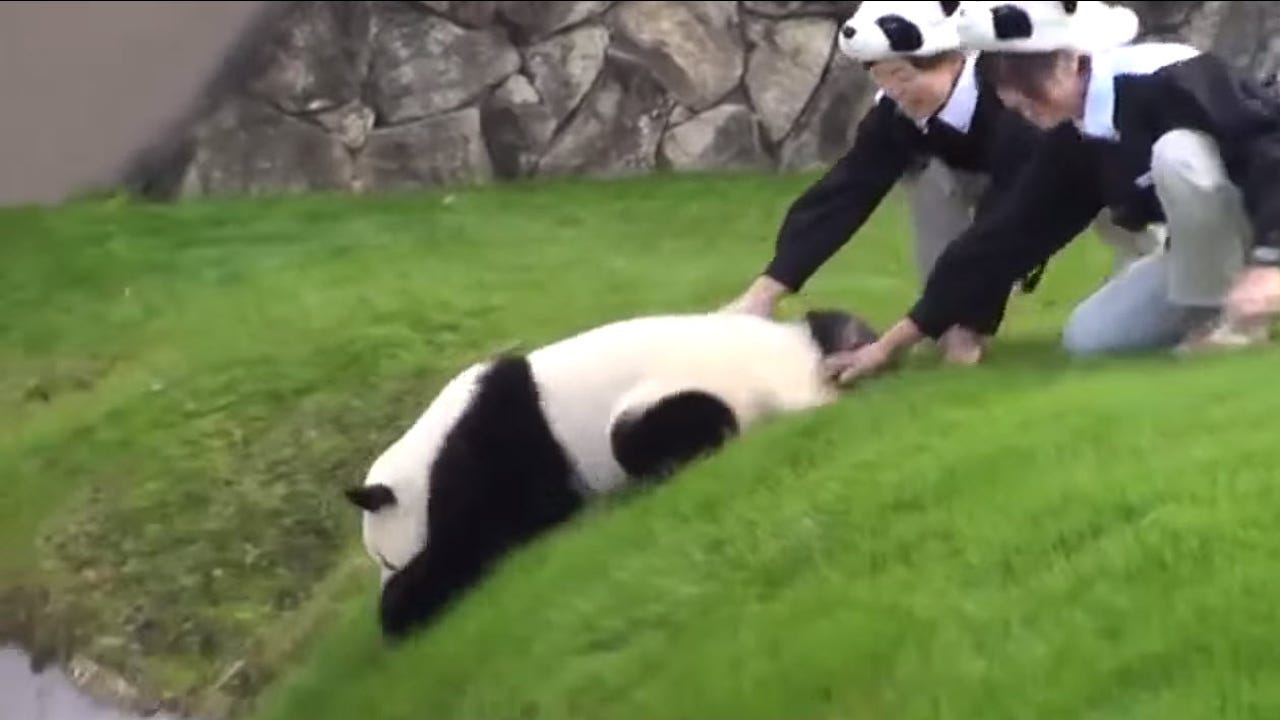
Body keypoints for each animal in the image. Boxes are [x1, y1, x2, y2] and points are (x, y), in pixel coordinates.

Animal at [343, 308, 879, 641]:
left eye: (385, 558)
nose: (388, 573)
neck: (424, 456)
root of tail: (806, 385)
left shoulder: (491, 452)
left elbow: (480, 537)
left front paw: (400, 606)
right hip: (809, 336)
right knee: (836, 323)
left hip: (688, 395)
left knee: (662, 431)